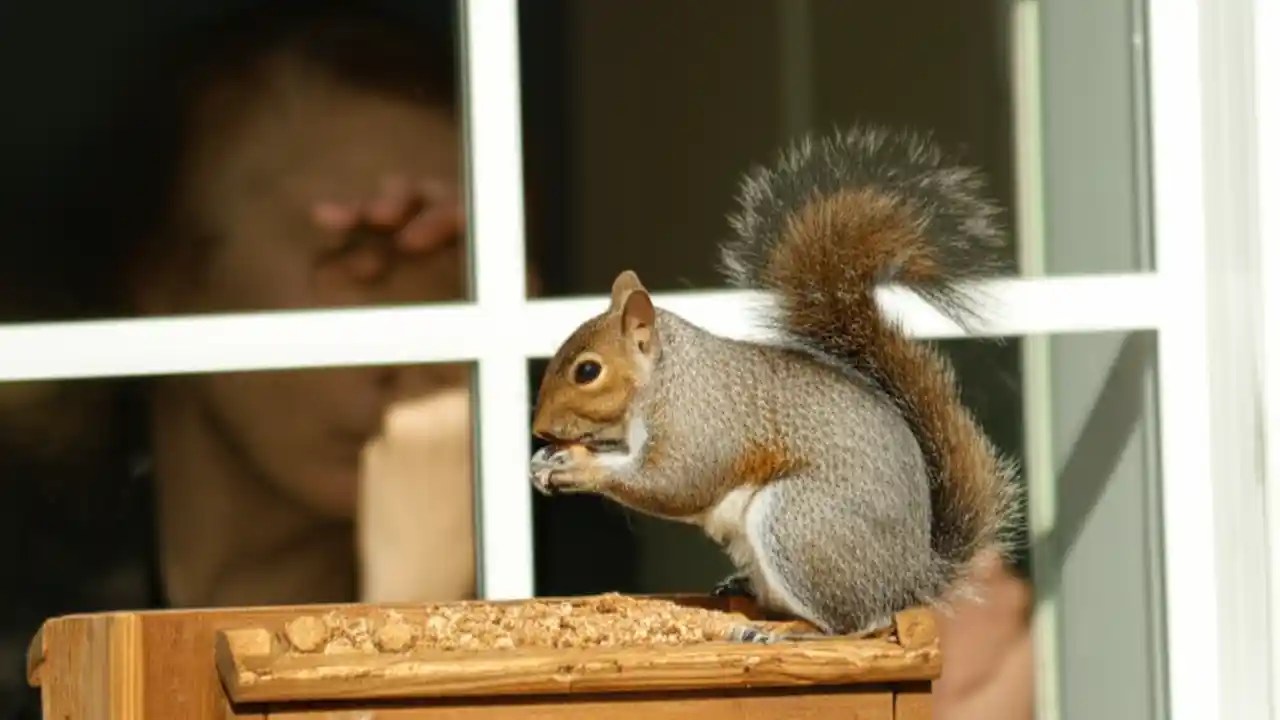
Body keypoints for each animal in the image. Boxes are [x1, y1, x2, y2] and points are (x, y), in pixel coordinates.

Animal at [528, 125, 1020, 640]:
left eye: (587, 371)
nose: (539, 428)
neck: (667, 377)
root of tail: (907, 582)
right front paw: (548, 461)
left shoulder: (701, 423)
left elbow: (674, 483)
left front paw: (580, 468)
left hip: (800, 525)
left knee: (855, 624)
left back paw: (795, 631)